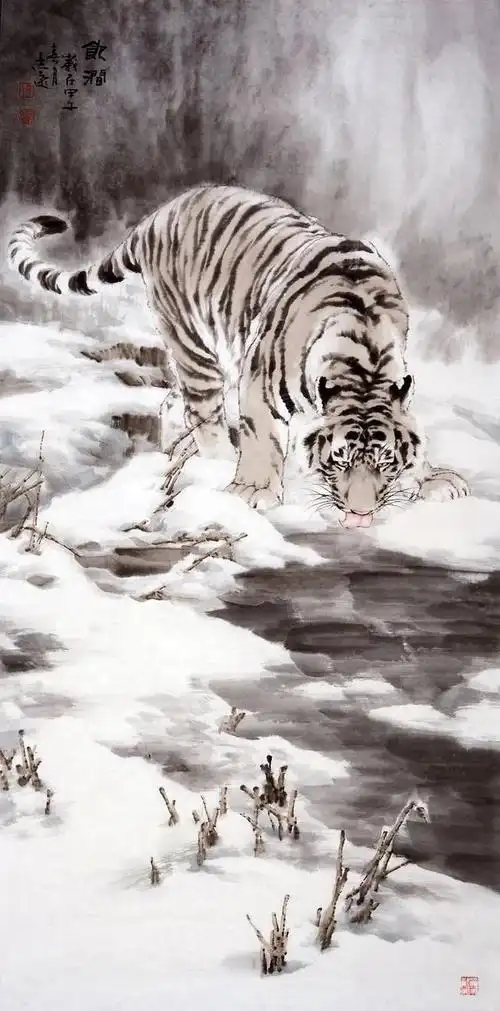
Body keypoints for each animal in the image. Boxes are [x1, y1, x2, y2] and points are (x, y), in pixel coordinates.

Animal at [7, 183, 469, 525]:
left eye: (385, 462)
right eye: (339, 461)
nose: (360, 514)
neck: (365, 363)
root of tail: (160, 214)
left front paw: (436, 479)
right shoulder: (259, 379)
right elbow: (262, 438)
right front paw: (254, 491)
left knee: (173, 402)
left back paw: (173, 451)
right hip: (196, 347)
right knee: (202, 411)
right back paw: (218, 459)